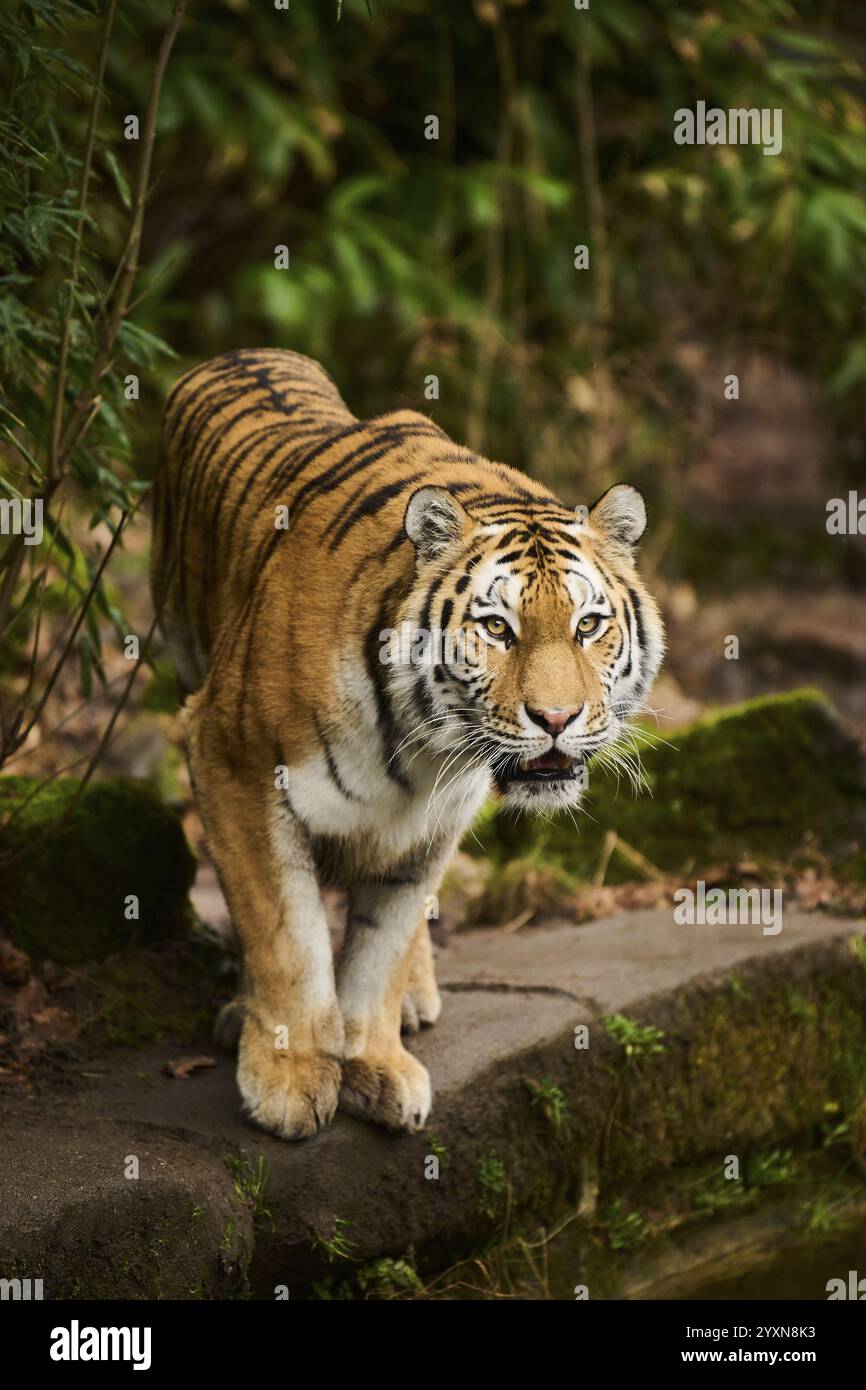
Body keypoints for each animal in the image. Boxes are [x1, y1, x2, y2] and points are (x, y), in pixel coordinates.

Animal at [150, 348, 664, 1140]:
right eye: (497, 628)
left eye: (587, 626)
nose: (557, 717)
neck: (421, 746)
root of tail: (245, 354)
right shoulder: (231, 758)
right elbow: (284, 933)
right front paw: (290, 1080)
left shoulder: (435, 822)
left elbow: (381, 944)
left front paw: (372, 1064)